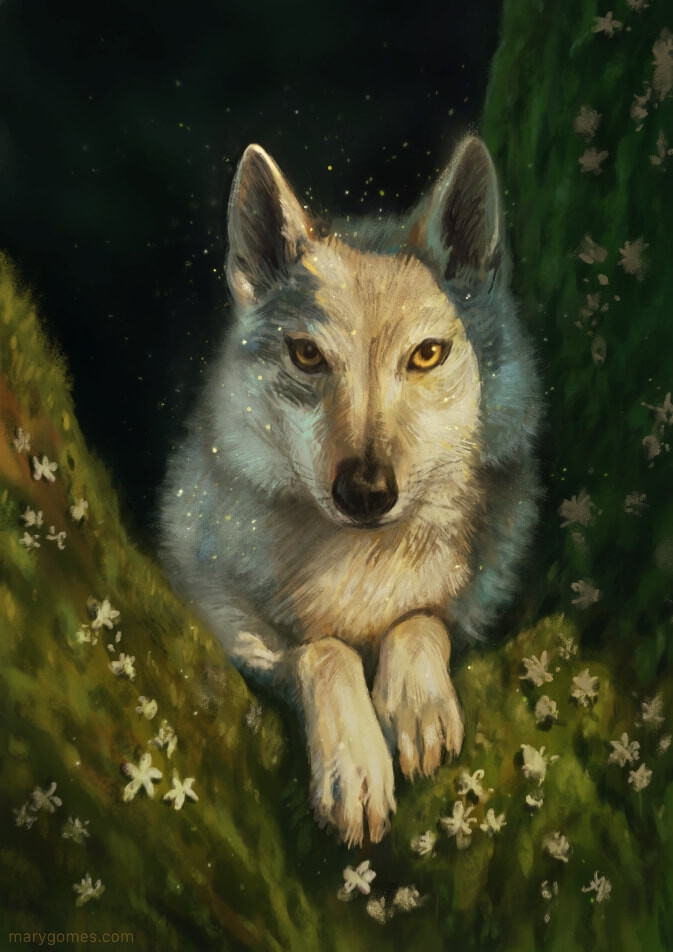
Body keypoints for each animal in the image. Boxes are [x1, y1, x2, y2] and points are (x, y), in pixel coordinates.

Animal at [159, 136, 541, 847]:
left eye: (427, 355)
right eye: (308, 355)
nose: (364, 490)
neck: (364, 567)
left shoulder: (470, 610)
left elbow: (420, 621)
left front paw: (416, 706)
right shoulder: (221, 614)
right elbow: (324, 651)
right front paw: (356, 767)